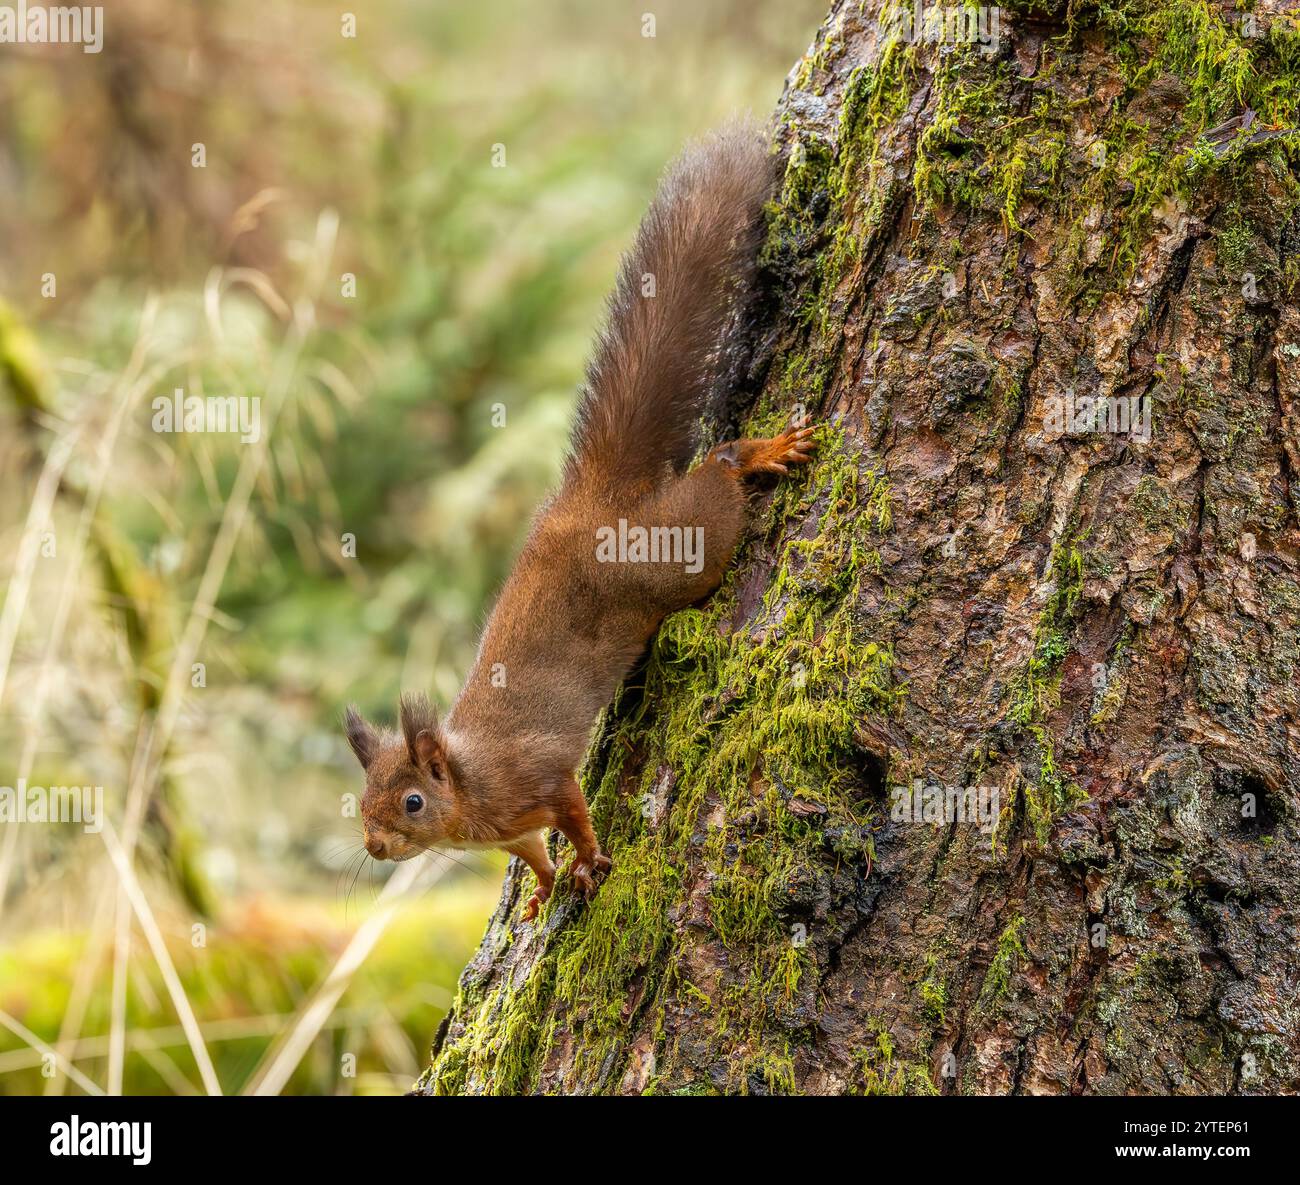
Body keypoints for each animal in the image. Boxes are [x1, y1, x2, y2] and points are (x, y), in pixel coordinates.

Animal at [344, 124, 817, 921]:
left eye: (410, 801)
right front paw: (541, 889)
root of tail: (589, 502)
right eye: (361, 802)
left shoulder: (539, 779)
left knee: (718, 473)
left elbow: (572, 812)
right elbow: (533, 852)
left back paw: (759, 452)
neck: (471, 792)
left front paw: (591, 860)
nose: (375, 848)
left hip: (677, 553)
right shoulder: (511, 831)